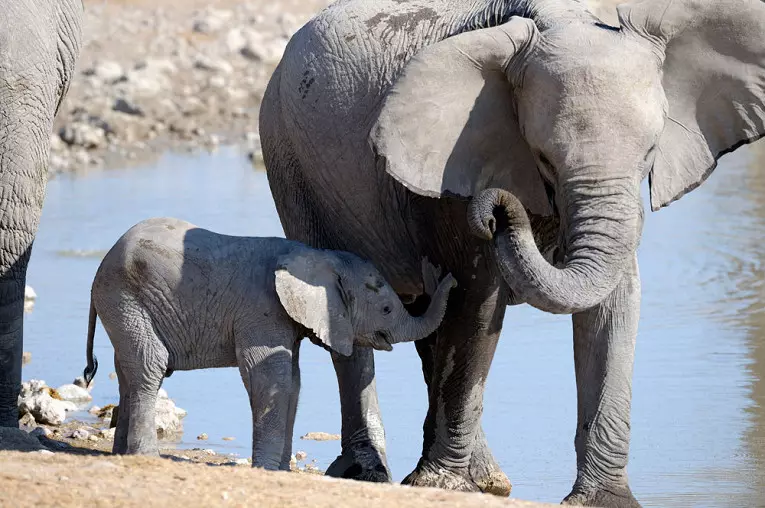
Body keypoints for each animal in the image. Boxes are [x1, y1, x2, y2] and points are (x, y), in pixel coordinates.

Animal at [83, 217, 454, 468]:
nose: (446, 274)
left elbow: (294, 381)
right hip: (124, 296)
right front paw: (266, 467)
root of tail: (101, 264)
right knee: (150, 365)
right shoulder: (261, 310)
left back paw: (122, 454)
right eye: (387, 309)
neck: (318, 257)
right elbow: (269, 375)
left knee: (127, 371)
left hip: (123, 303)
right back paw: (146, 457)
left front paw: (280, 469)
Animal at [260, 0, 760, 506]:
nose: (496, 212)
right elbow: (477, 299)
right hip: (289, 161)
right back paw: (374, 474)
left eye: (651, 152)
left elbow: (613, 309)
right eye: (543, 159)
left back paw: (488, 481)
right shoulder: (456, 170)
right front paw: (440, 486)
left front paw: (605, 500)